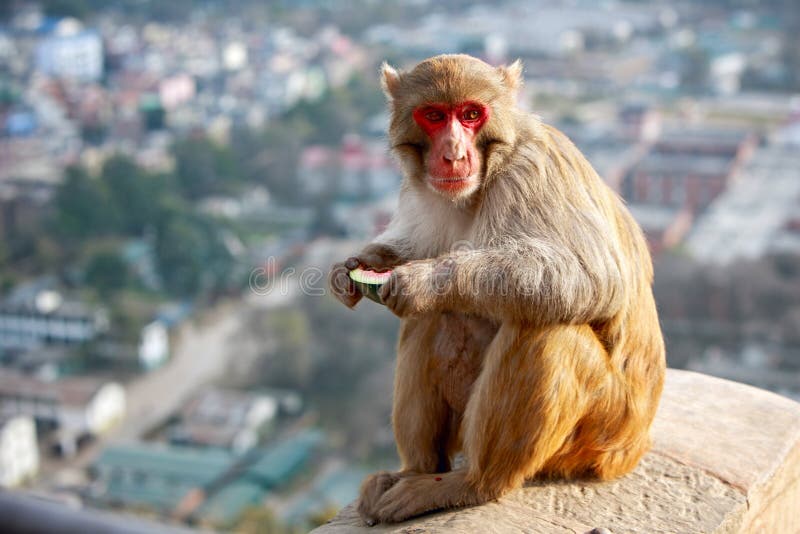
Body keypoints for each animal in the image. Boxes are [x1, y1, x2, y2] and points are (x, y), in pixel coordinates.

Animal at [328, 54, 665, 525]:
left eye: (471, 114)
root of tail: (632, 447)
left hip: (600, 431)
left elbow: (593, 278)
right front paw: (361, 265)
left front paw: (428, 280)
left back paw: (471, 485)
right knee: (430, 322)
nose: (453, 153)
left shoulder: (533, 171)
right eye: (435, 116)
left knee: (545, 330)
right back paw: (419, 471)